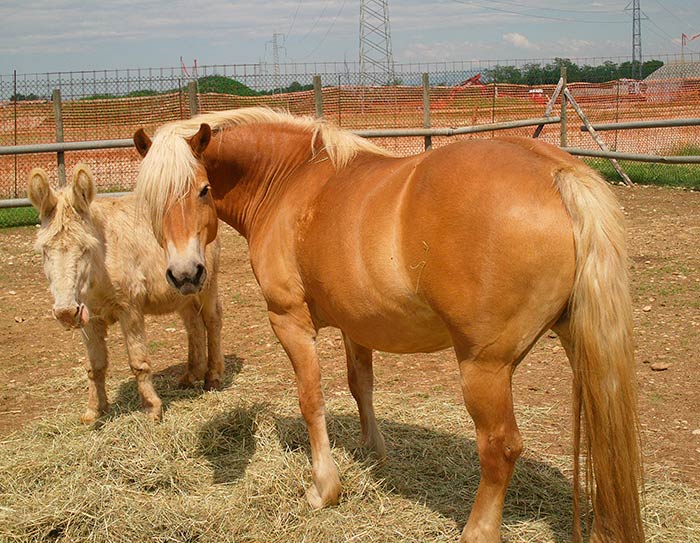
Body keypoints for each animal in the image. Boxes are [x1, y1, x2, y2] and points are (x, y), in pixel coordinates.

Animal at [28, 164, 225, 423]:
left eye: (86, 249)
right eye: (44, 251)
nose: (66, 314)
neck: (100, 268)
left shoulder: (130, 309)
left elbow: (138, 361)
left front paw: (152, 408)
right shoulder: (89, 318)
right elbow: (95, 366)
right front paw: (94, 411)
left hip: (206, 285)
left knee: (212, 321)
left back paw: (212, 377)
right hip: (183, 292)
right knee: (194, 326)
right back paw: (191, 375)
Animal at [132, 107, 643, 543]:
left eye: (202, 189)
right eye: (150, 201)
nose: (185, 274)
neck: (290, 181)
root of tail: (555, 172)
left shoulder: (290, 321)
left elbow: (311, 399)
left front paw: (325, 488)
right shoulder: (355, 325)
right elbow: (361, 385)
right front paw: (372, 453)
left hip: (485, 368)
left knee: (500, 448)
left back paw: (477, 530)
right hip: (579, 348)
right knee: (605, 443)